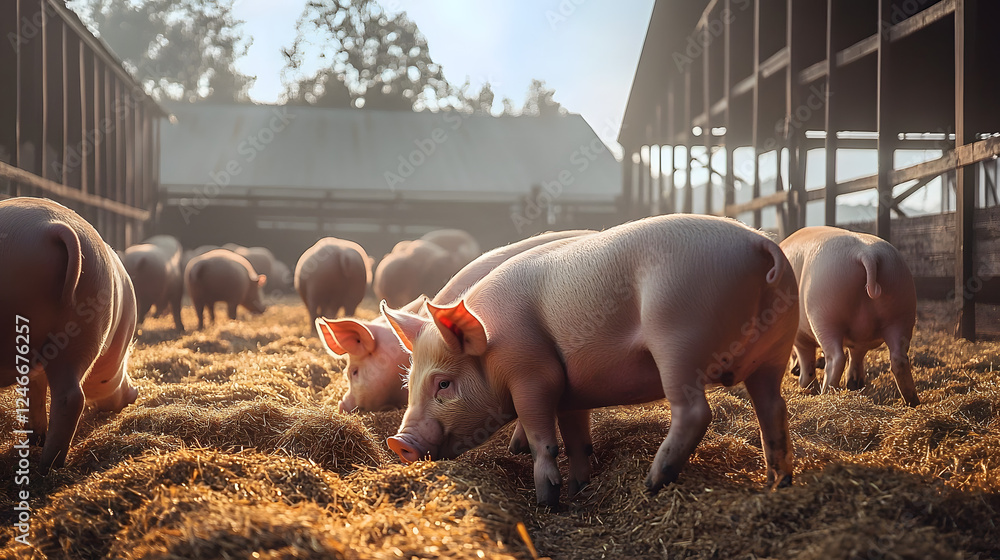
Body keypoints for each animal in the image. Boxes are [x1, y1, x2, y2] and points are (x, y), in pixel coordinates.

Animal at [0, 197, 139, 472]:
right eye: (125, 357)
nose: (135, 393)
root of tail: (56, 227)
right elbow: (34, 392)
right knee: (70, 397)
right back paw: (47, 462)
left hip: (79, 334)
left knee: (70, 397)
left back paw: (47, 468)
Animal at [381, 215, 799, 507]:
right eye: (409, 383)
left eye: (444, 383)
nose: (398, 442)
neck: (495, 343)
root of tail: (761, 244)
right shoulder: (571, 391)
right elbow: (576, 439)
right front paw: (579, 488)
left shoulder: (534, 374)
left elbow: (543, 439)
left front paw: (548, 501)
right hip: (776, 349)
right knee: (773, 409)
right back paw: (777, 483)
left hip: (679, 340)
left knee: (695, 412)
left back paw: (653, 483)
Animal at [780, 226, 919, 407]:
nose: (793, 370)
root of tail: (867, 254)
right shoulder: (859, 341)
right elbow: (856, 354)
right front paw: (854, 385)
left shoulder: (800, 336)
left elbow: (806, 358)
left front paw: (806, 386)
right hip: (902, 310)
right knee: (898, 358)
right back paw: (912, 402)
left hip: (824, 315)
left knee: (836, 358)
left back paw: (825, 393)